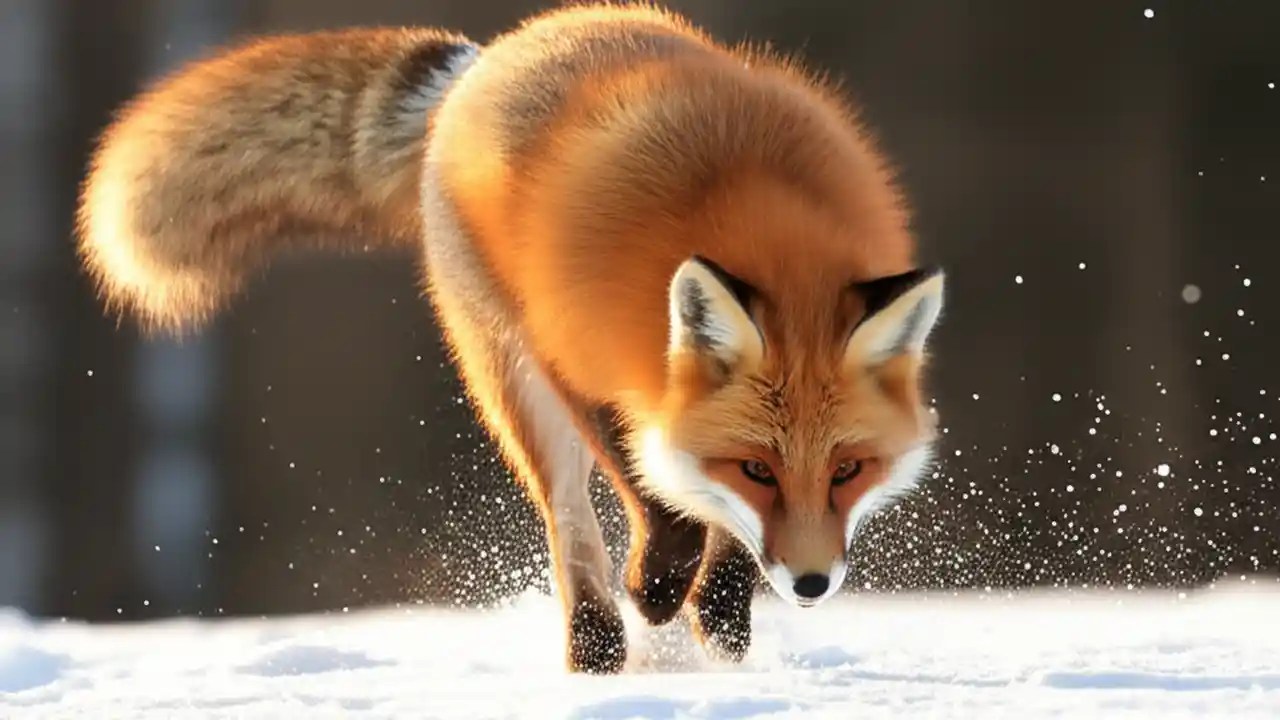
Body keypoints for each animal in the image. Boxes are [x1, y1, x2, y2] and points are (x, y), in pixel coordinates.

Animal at [77, 2, 946, 673]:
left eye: (848, 470)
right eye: (757, 468)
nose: (811, 584)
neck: (749, 219)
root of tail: (496, 53)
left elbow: (711, 516)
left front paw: (720, 613)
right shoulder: (582, 365)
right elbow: (659, 494)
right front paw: (659, 588)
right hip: (510, 374)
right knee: (570, 525)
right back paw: (598, 648)